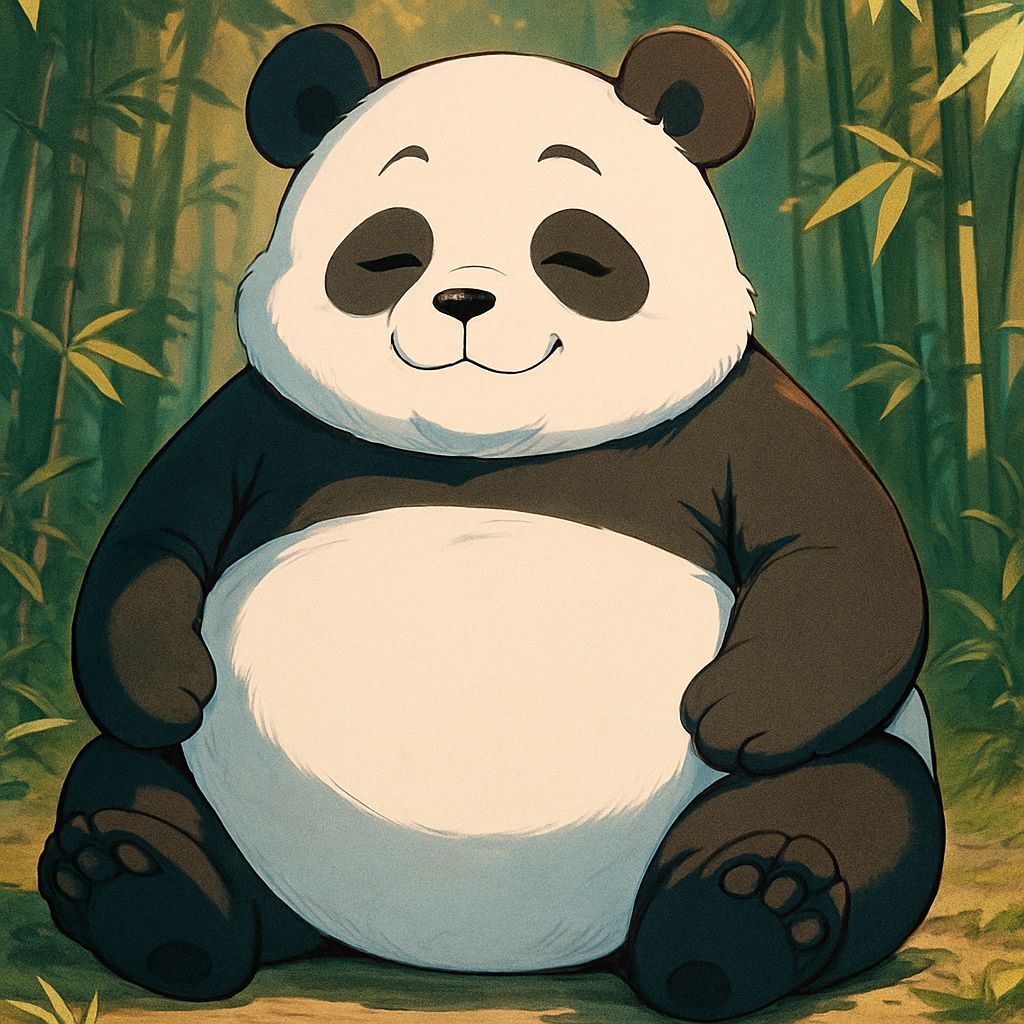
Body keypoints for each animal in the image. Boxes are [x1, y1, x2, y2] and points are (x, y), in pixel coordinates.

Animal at [39, 24, 944, 1022]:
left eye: (576, 255)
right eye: (390, 253)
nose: (464, 302)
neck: (484, 440)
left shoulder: (741, 414)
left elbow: (841, 556)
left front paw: (737, 711)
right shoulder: (258, 420)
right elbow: (156, 538)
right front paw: (167, 686)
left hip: (848, 769)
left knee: (860, 801)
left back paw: (745, 915)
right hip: (224, 793)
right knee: (127, 774)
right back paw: (144, 886)